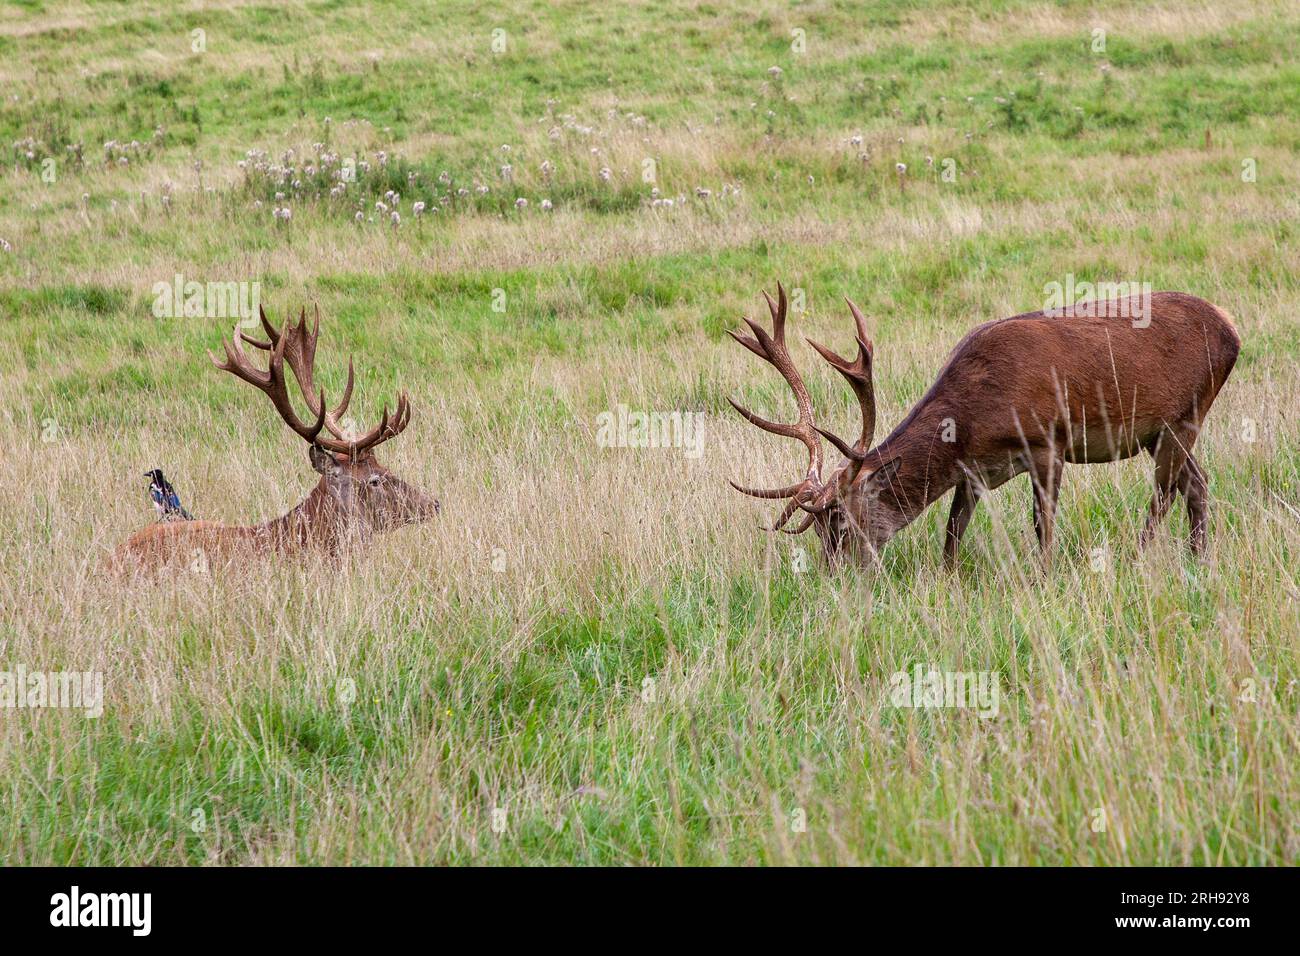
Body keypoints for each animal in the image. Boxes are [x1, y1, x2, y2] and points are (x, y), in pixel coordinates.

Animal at [728, 283, 1240, 569]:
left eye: (839, 522)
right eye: (816, 531)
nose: (833, 577)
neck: (974, 422)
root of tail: (1232, 329)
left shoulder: (1048, 441)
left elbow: (1042, 525)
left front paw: (1043, 579)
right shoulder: (974, 472)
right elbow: (952, 533)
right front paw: (948, 581)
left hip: (1185, 414)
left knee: (1163, 495)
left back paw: (1139, 560)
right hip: (1161, 432)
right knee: (1196, 483)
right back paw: (1199, 560)